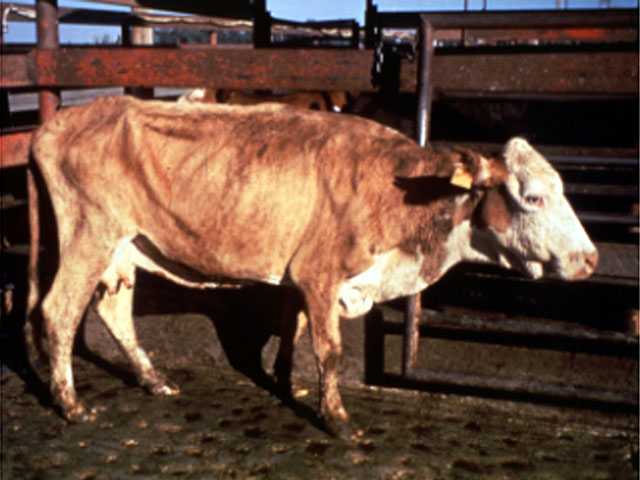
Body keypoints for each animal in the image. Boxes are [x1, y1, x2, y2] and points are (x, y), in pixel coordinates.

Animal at [28, 95, 597, 435]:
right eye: (533, 196)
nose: (589, 259)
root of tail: (58, 122)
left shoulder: (301, 278)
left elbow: (293, 329)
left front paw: (288, 384)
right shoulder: (320, 274)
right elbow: (329, 349)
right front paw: (338, 418)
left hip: (126, 246)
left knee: (114, 311)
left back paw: (154, 380)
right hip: (89, 236)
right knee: (58, 311)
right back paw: (71, 404)